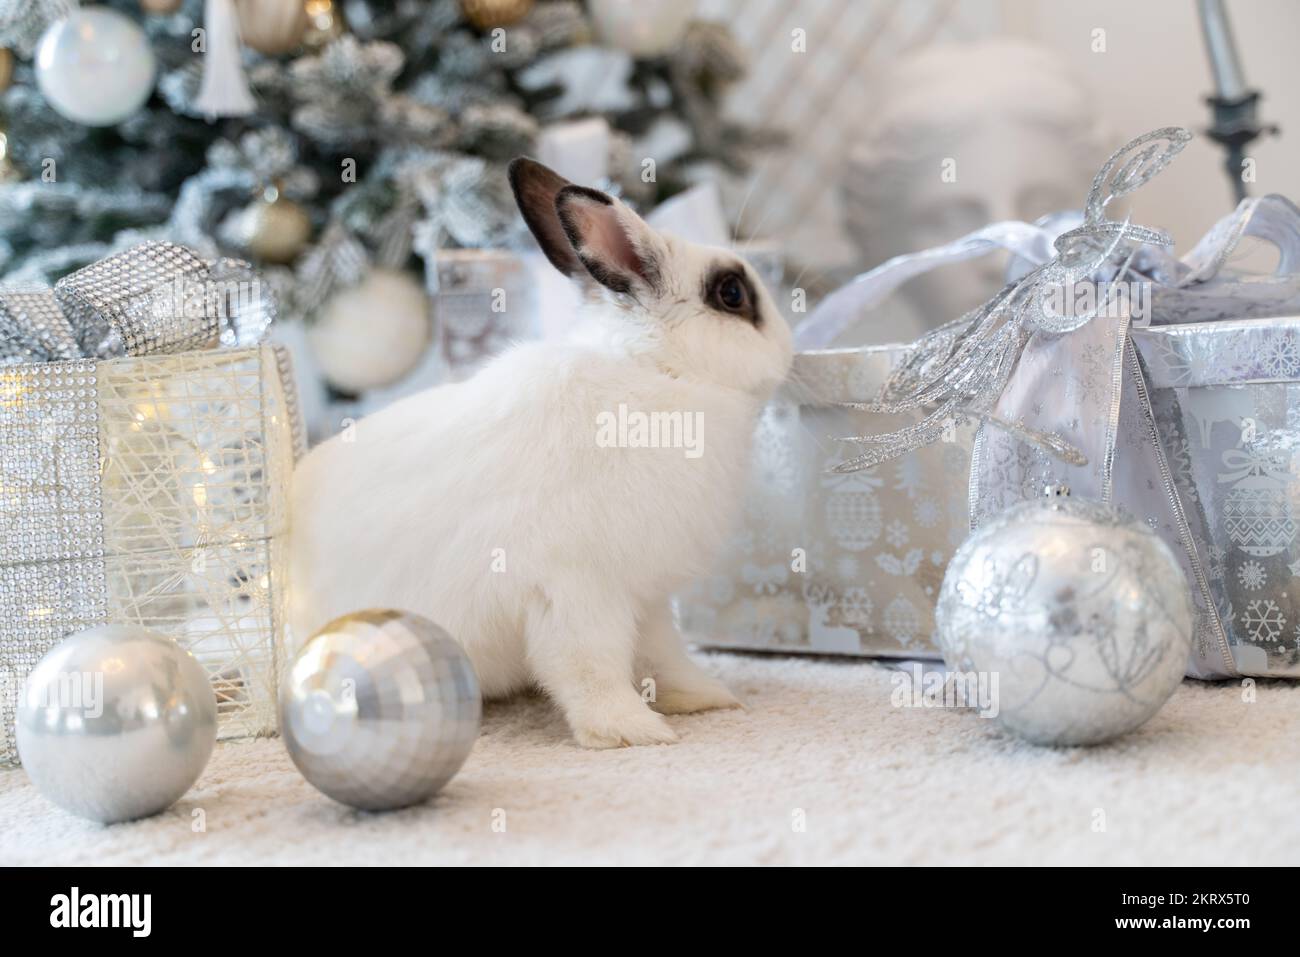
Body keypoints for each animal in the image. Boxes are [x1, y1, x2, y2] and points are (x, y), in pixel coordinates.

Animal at [289, 157, 793, 748]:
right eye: (732, 294)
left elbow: (664, 656)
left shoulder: (647, 597)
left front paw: (705, 698)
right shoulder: (576, 590)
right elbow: (589, 667)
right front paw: (630, 732)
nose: (790, 345)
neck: (658, 372)